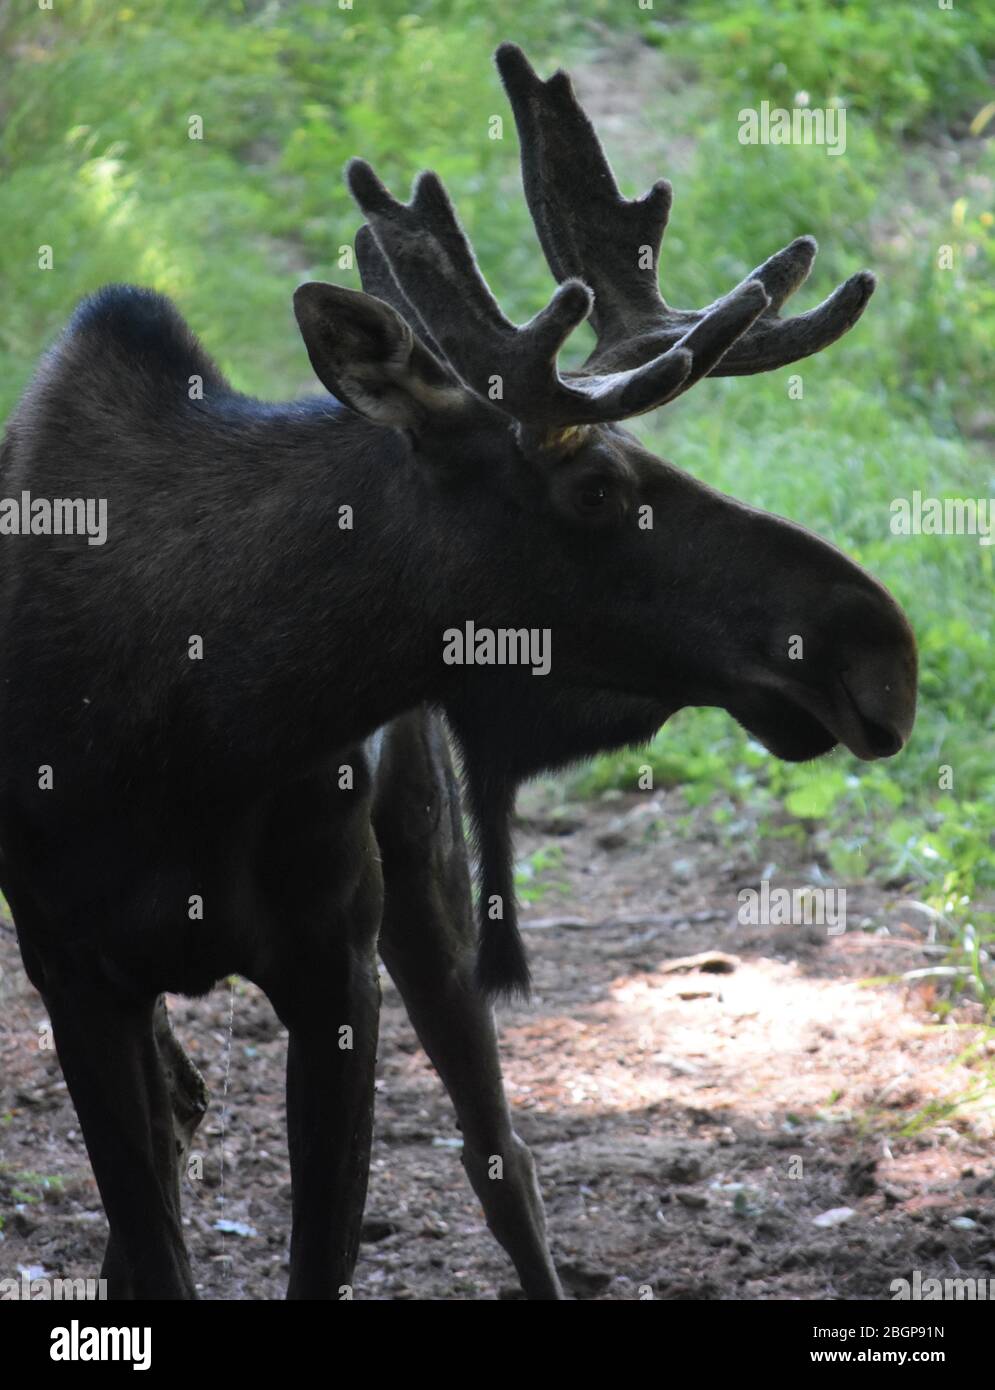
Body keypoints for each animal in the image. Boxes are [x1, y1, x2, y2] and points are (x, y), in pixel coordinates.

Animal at [0, 43, 916, 1300]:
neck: (199, 725)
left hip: (425, 870)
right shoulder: (72, 971)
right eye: (595, 489)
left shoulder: (335, 959)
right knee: (183, 1125)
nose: (880, 648)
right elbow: (155, 1232)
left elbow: (328, 1249)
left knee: (502, 1161)